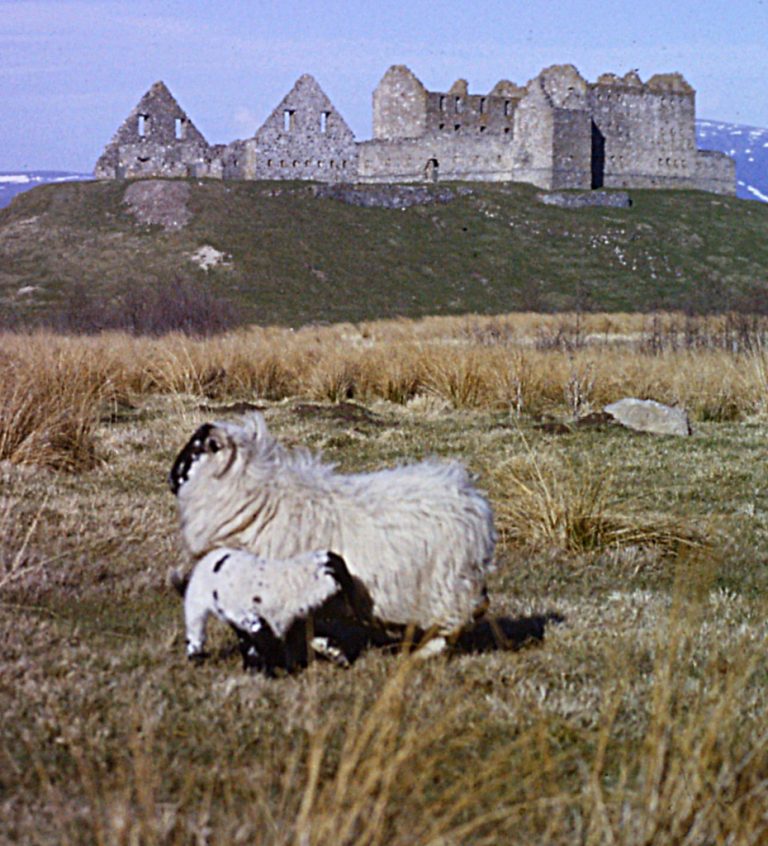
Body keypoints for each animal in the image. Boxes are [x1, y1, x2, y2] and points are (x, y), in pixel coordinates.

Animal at [169, 412, 496, 655]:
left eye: (196, 447)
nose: (170, 480)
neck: (260, 498)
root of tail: (470, 498)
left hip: (447, 584)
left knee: (452, 625)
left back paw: (424, 653)